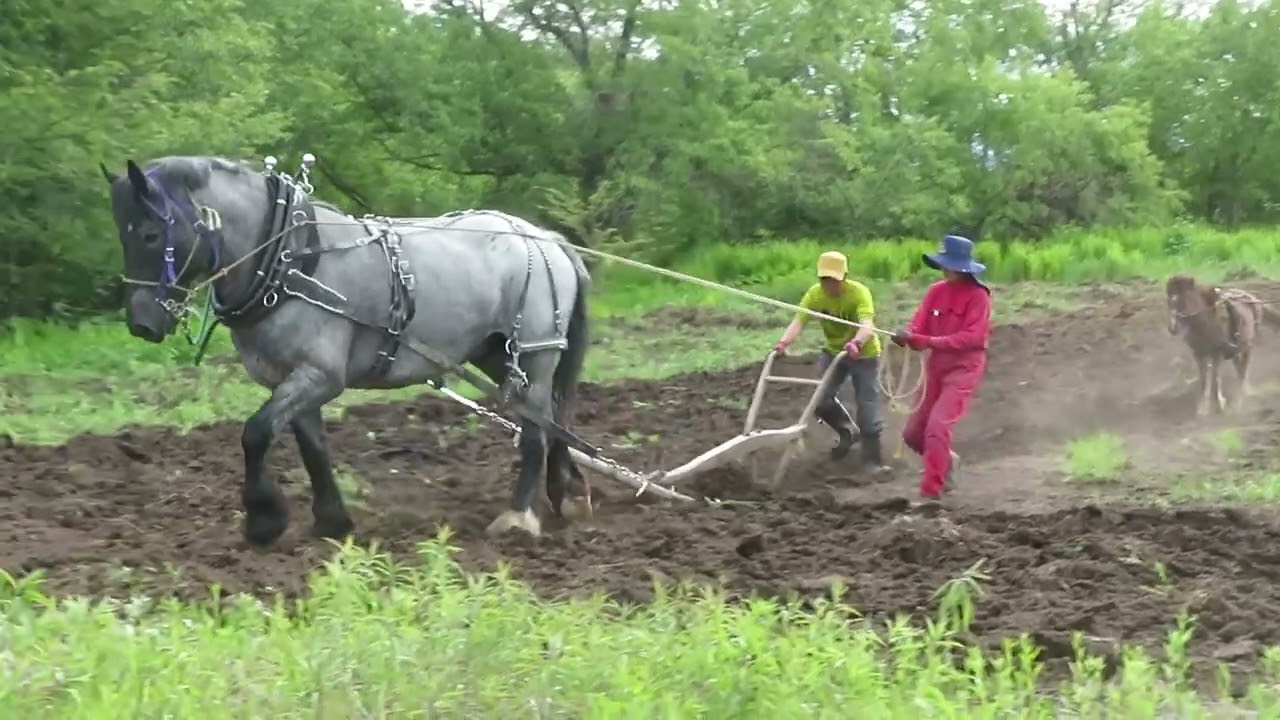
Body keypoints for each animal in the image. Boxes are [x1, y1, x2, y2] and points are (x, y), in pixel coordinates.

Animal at [98, 155, 595, 545]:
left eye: (149, 233)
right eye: (121, 234)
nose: (141, 323)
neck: (291, 259)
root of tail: (548, 240)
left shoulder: (321, 375)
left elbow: (255, 433)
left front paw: (264, 521)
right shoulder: (290, 377)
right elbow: (313, 449)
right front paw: (332, 522)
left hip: (533, 354)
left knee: (535, 433)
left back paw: (518, 518)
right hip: (496, 354)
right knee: (553, 420)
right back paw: (564, 494)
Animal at [1165, 274, 1279, 415]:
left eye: (1184, 300)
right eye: (1169, 301)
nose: (1172, 328)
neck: (1205, 323)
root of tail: (1252, 298)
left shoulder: (1217, 353)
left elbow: (1215, 378)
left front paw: (1220, 405)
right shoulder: (1199, 354)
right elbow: (1204, 380)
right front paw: (1202, 409)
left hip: (1248, 346)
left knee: (1244, 369)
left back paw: (1240, 398)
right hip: (1236, 349)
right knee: (1239, 368)